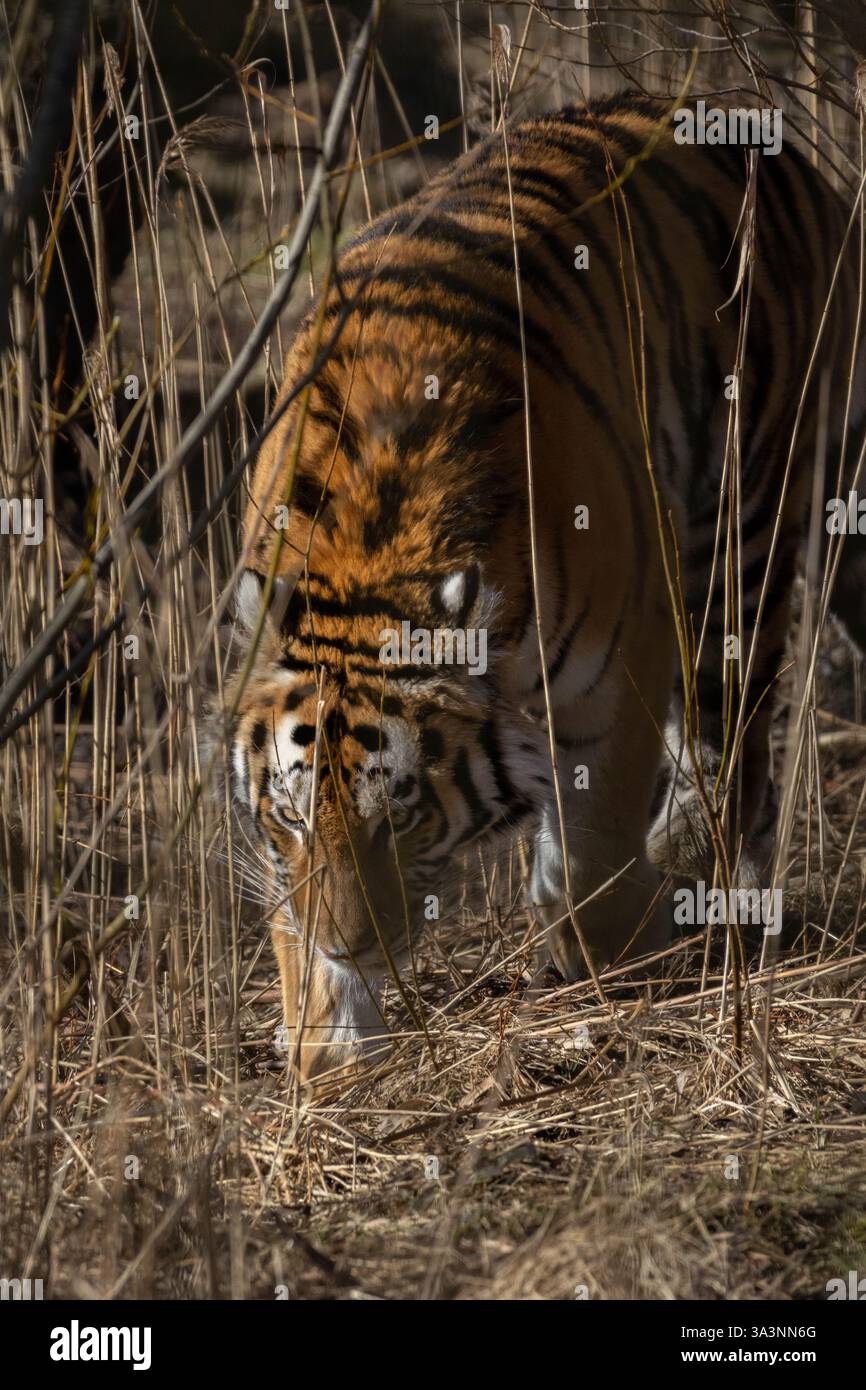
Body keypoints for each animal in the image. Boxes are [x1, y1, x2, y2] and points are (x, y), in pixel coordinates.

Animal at [218, 92, 866, 1085]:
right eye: (290, 818)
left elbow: (592, 864)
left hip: (742, 529)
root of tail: (786, 151)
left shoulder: (615, 664)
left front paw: (622, 954)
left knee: (737, 749)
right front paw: (331, 1050)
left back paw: (711, 887)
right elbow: (293, 921)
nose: (350, 944)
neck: (366, 560)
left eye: (401, 815)